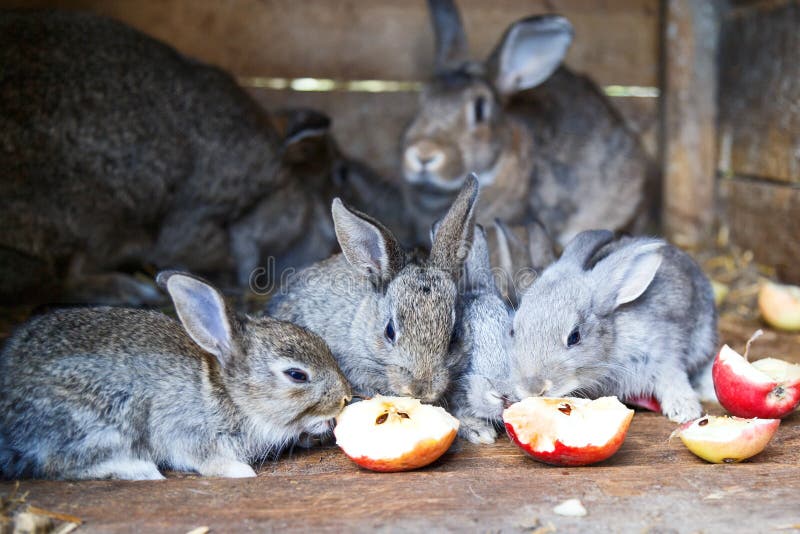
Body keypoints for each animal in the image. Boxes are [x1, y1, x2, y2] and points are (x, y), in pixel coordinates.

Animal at [0, 271, 351, 480]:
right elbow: (203, 457)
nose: (345, 397)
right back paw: (140, 470)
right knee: (58, 462)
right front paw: (239, 470)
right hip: (96, 422)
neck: (229, 393)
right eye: (296, 375)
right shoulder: (185, 430)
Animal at [508, 230, 717, 423]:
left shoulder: (663, 355)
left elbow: (672, 377)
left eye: (574, 337)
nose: (532, 388)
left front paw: (684, 411)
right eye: (513, 331)